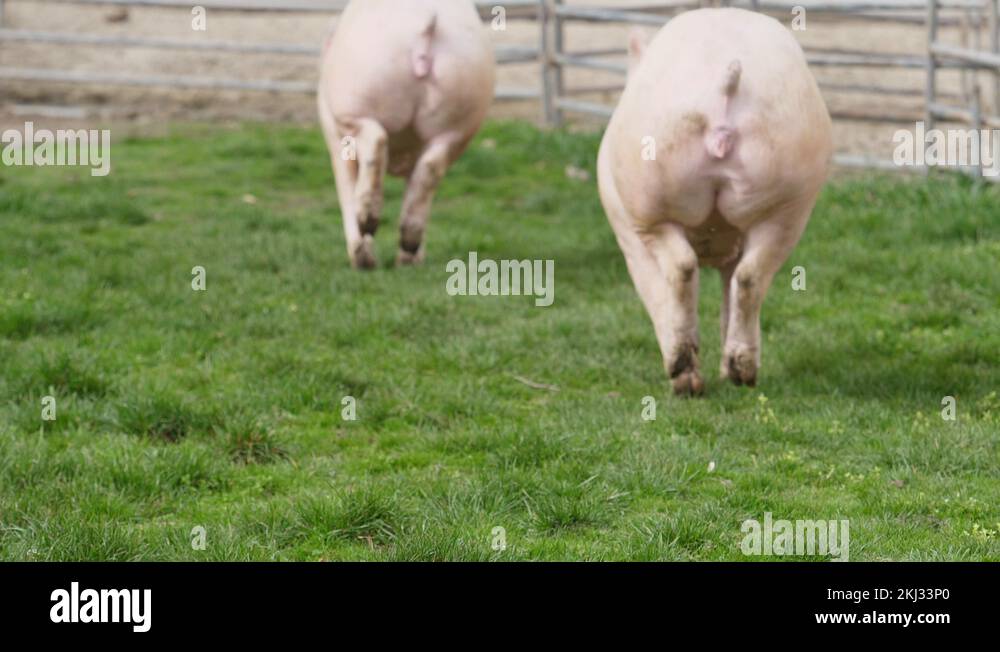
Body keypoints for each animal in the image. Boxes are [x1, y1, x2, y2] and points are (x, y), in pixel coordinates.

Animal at [318, 0, 495, 269]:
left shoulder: (333, 134)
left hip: (359, 98)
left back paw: (367, 227)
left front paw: (363, 259)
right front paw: (408, 259)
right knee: (432, 168)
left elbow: (346, 186)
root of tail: (425, 24)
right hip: (461, 110)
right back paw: (409, 250)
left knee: (376, 139)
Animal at [598, 8, 832, 395]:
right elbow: (727, 295)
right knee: (749, 278)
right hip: (787, 201)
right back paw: (741, 375)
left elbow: (655, 291)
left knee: (680, 268)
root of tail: (725, 85)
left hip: (651, 204)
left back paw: (684, 380)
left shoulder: (625, 231)